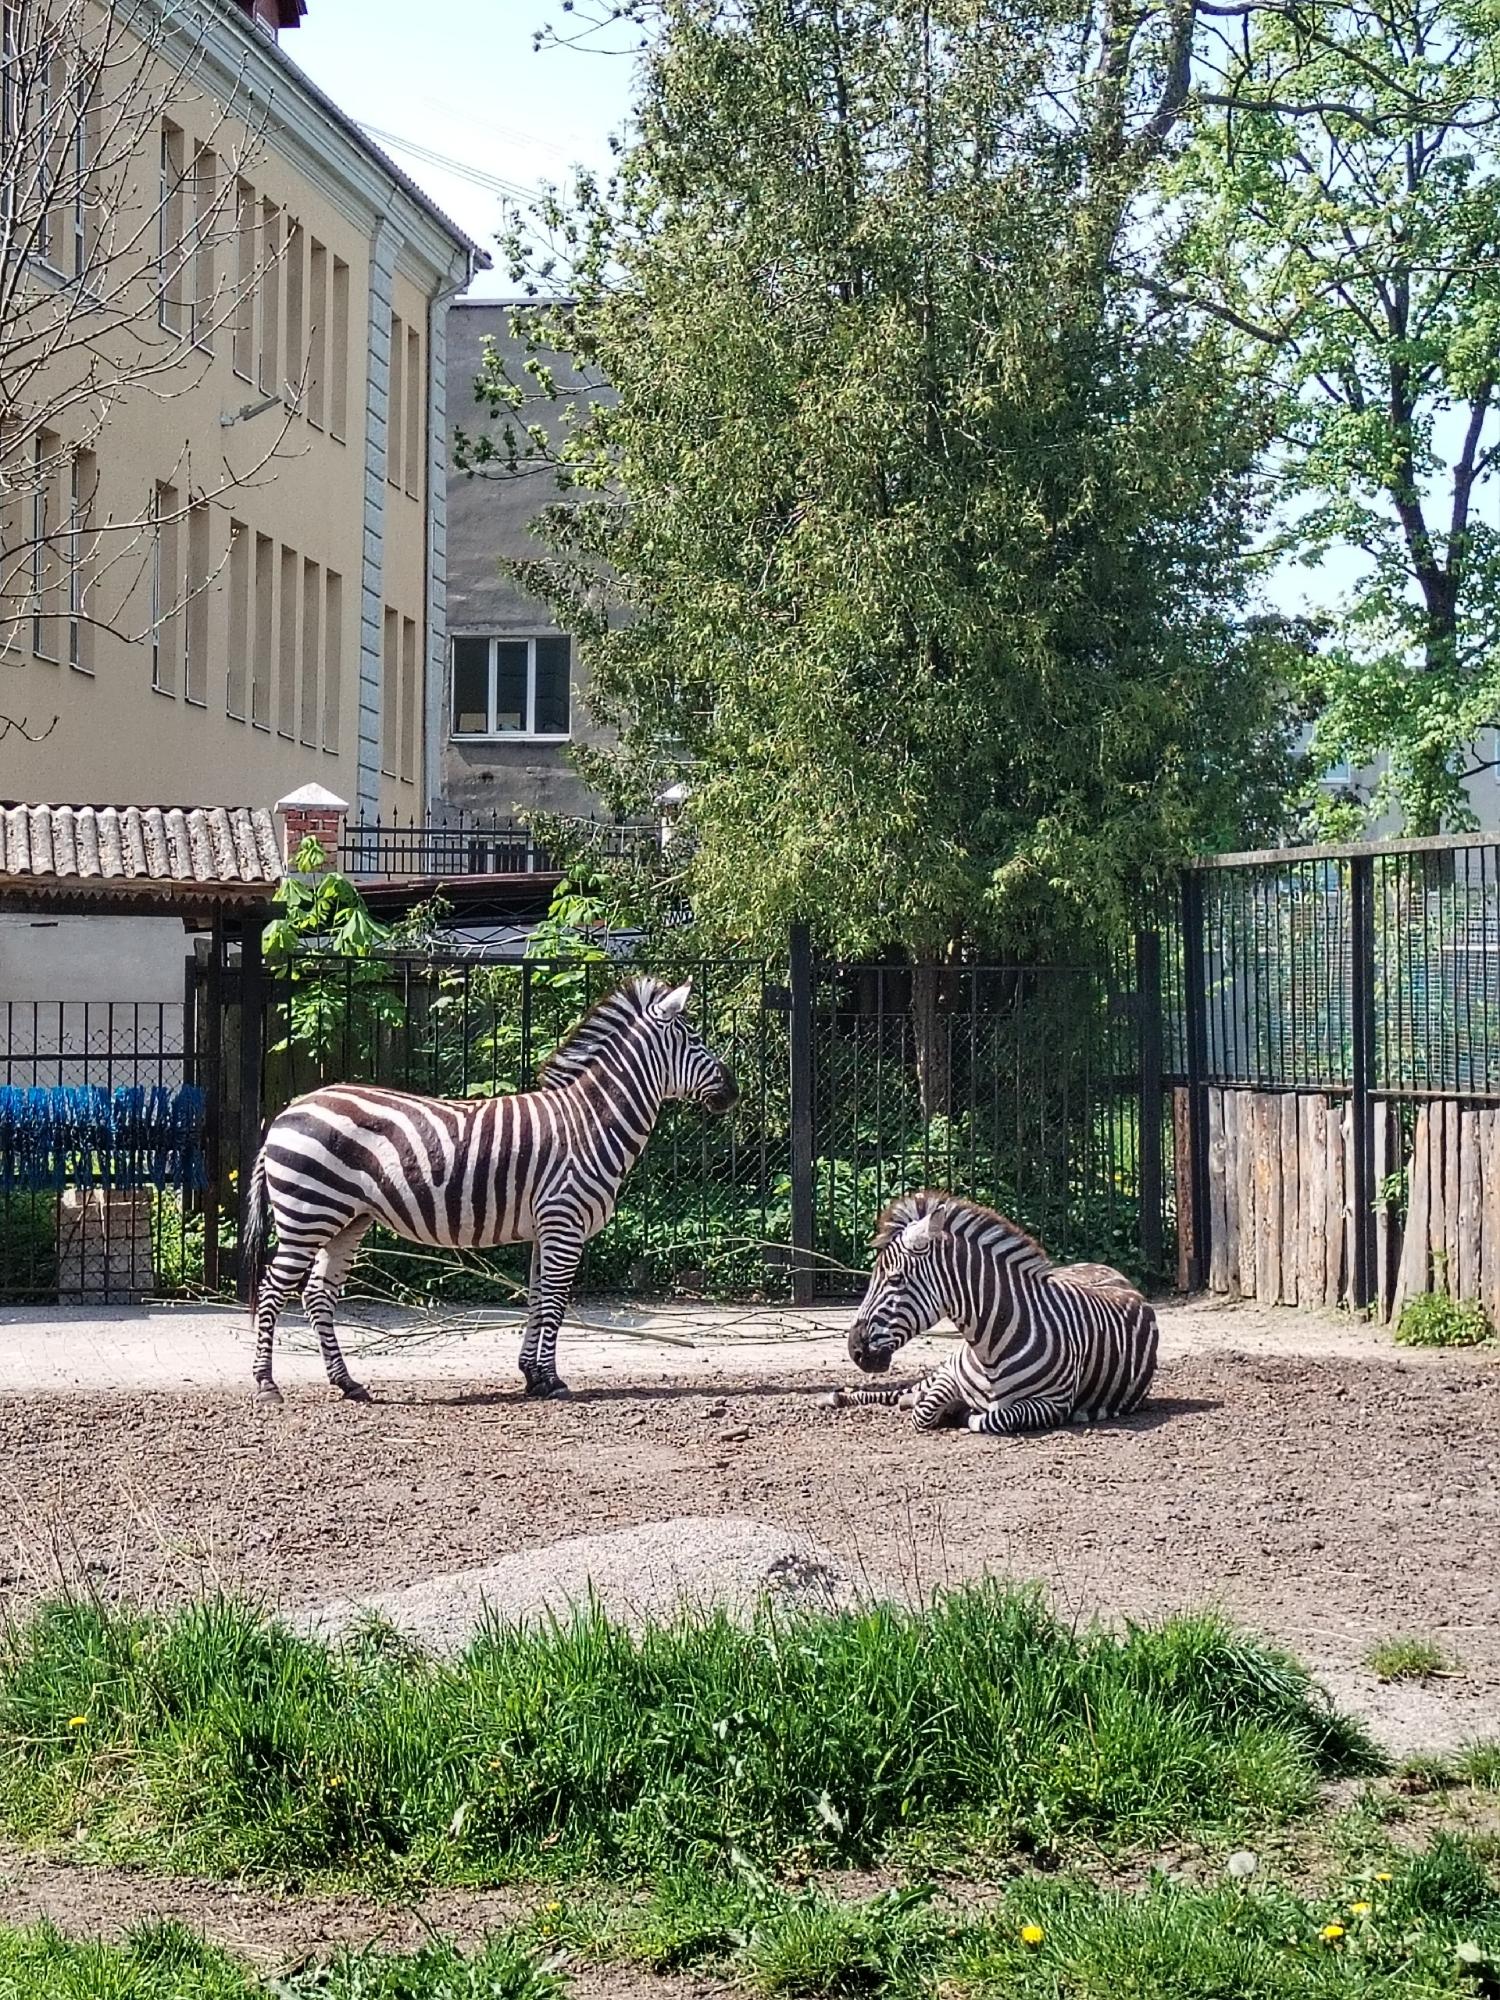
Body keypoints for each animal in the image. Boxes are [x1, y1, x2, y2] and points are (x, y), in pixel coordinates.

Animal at [242, 976, 740, 1400]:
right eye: (695, 1040)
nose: (734, 1092)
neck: (591, 1122)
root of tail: (285, 1114)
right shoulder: (564, 1221)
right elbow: (555, 1301)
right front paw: (552, 1381)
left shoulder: (547, 1228)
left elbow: (538, 1298)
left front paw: (532, 1375)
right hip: (308, 1213)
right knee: (272, 1289)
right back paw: (267, 1384)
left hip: (348, 1219)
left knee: (317, 1294)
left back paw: (348, 1384)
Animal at [836, 1184, 1160, 1440]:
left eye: (894, 1279)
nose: (855, 1350)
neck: (988, 1348)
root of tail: (1112, 1271)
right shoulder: (950, 1375)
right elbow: (925, 1411)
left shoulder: (1051, 1404)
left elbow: (990, 1418)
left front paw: (960, 1413)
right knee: (907, 1390)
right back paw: (842, 1396)